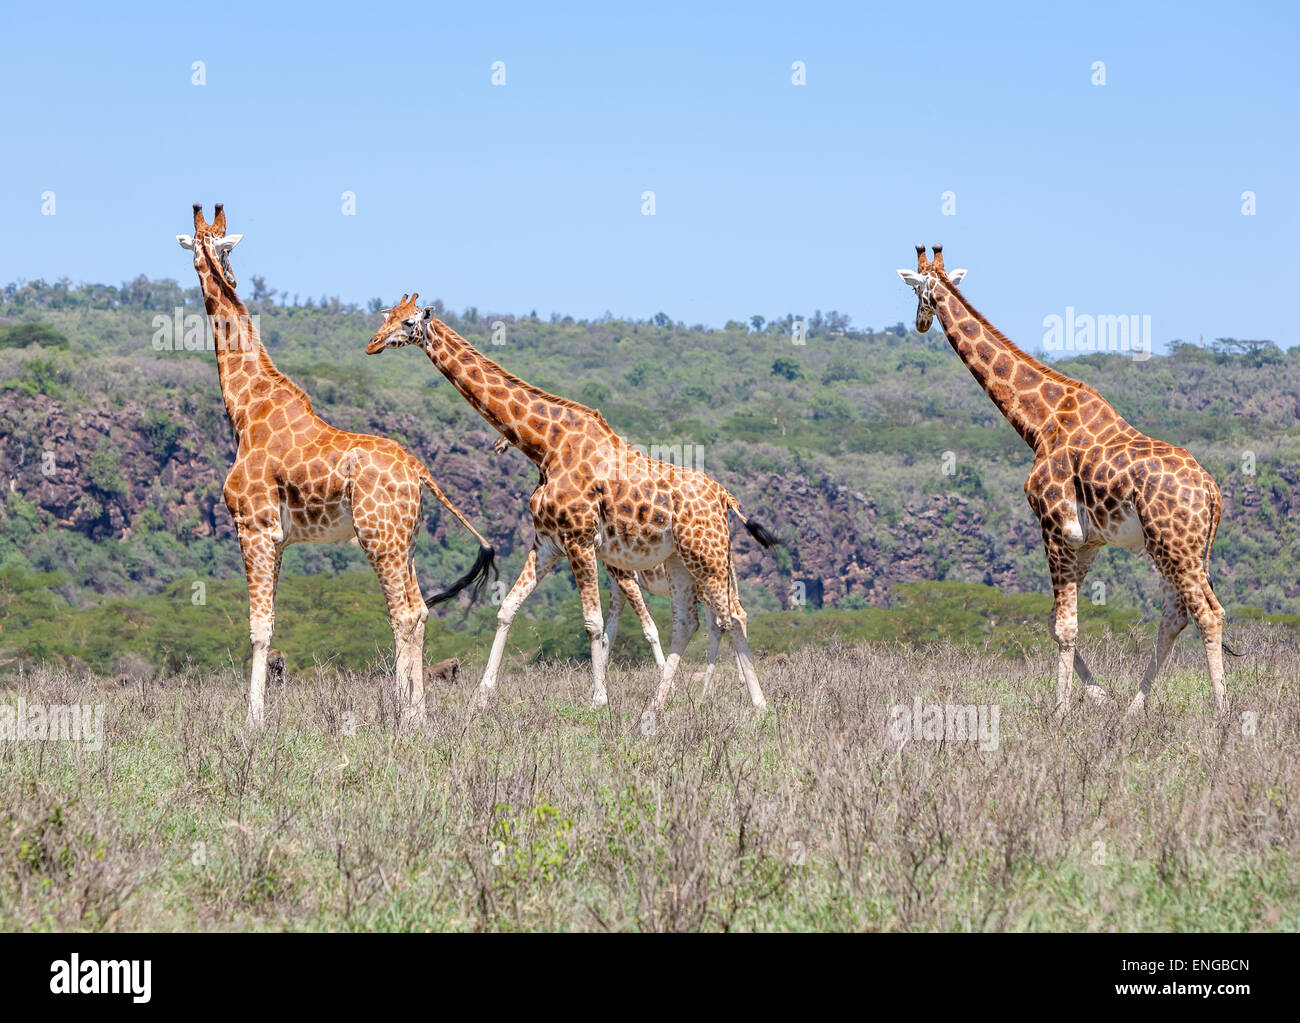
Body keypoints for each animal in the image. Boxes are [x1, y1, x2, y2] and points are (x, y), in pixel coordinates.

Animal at [175, 205, 496, 729]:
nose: (227, 274)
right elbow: (271, 624)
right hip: (404, 539)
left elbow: (258, 629)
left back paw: (406, 717)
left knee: (405, 613)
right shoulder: (280, 537)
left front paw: (253, 720)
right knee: (419, 610)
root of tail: (421, 472)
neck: (246, 408)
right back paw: (418, 714)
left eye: (211, 244)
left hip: (378, 536)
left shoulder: (253, 526)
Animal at [366, 295, 779, 718]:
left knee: (732, 617)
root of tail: (725, 497)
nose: (373, 344)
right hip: (683, 561)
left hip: (707, 556)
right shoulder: (548, 543)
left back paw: (758, 705)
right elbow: (507, 608)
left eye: (409, 322)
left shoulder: (580, 540)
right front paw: (481, 698)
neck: (546, 446)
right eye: (387, 316)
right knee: (692, 623)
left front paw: (598, 700)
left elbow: (594, 624)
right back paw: (657, 707)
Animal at [896, 244, 1228, 719]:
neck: (1039, 423)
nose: (920, 322)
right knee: (1174, 616)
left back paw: (1222, 714)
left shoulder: (1054, 528)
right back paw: (1133, 709)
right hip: (1172, 548)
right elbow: (1054, 620)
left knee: (1207, 613)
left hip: (1176, 545)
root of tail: (1213, 493)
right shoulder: (1085, 541)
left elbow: (1065, 627)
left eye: (915, 290)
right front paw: (1100, 696)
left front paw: (1060, 711)